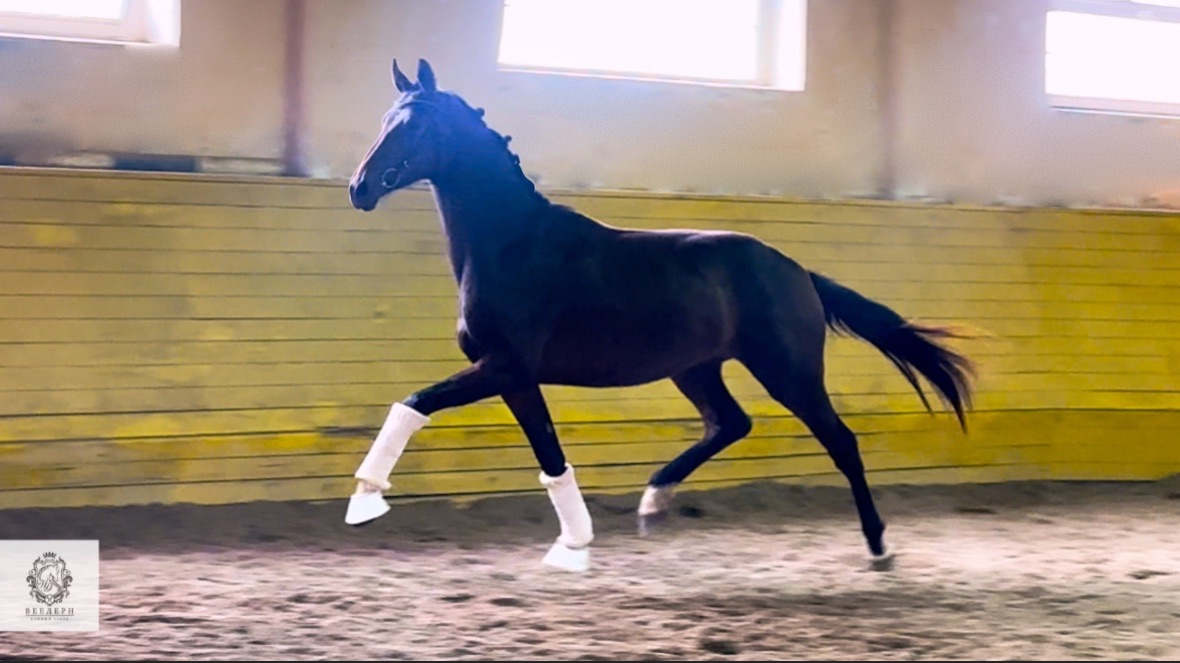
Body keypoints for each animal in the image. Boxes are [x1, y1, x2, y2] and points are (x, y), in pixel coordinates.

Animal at [342, 58, 976, 573]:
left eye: (417, 125)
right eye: (384, 119)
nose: (359, 189)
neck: (512, 245)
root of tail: (798, 272)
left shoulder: (505, 367)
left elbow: (417, 402)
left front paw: (366, 499)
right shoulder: (513, 378)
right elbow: (547, 455)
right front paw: (574, 545)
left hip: (788, 372)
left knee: (839, 441)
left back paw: (879, 546)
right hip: (696, 369)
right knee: (730, 423)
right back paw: (653, 501)